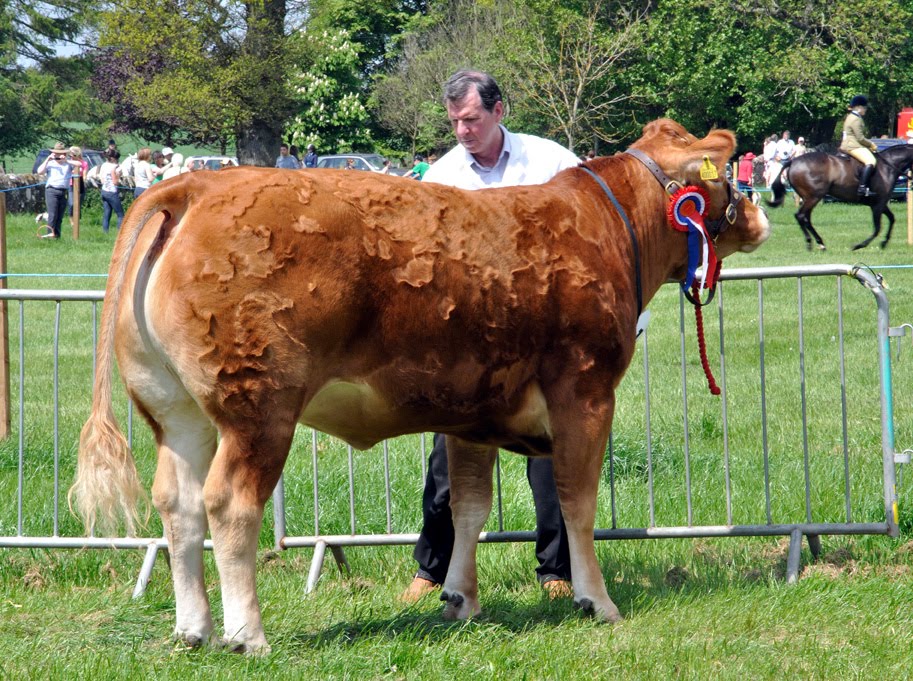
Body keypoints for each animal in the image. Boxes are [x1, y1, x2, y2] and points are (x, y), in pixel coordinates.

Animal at [70, 119, 770, 654]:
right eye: (724, 174)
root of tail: (199, 182)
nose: (759, 216)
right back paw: (248, 635)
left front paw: (462, 598)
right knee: (228, 506)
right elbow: (578, 502)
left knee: (178, 506)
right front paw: (596, 601)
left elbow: (468, 507)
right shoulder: (586, 393)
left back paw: (194, 630)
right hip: (257, 410)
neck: (606, 228)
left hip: (176, 413)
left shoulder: (473, 413)